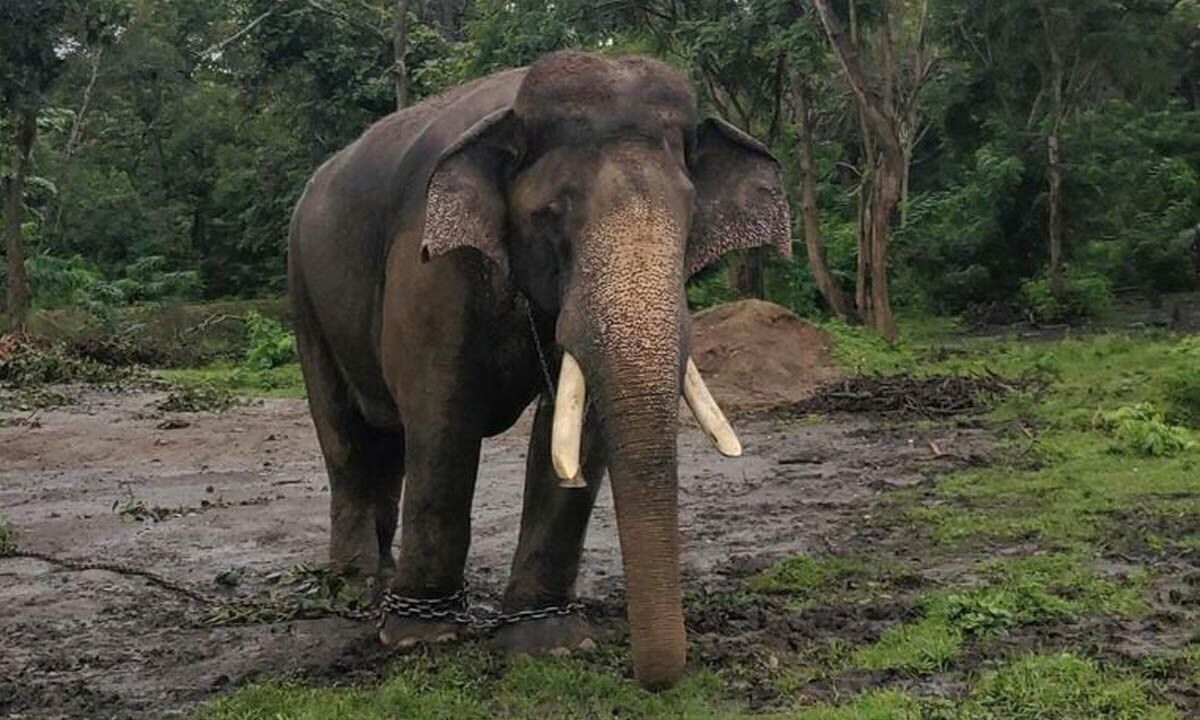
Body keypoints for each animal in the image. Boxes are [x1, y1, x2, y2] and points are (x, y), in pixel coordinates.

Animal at [287, 50, 790, 690]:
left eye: (689, 218)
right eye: (552, 214)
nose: (655, 679)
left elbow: (574, 430)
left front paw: (548, 642)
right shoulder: (429, 268)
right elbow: (443, 419)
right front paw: (420, 637)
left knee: (388, 441)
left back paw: (380, 575)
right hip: (302, 290)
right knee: (347, 436)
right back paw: (356, 588)